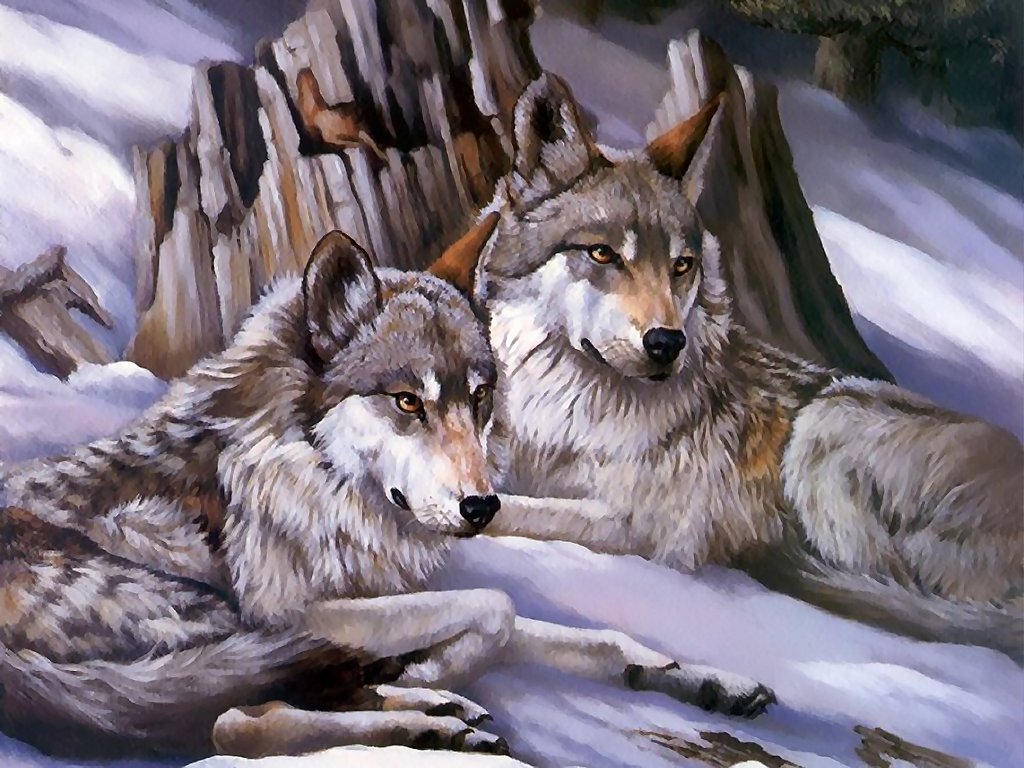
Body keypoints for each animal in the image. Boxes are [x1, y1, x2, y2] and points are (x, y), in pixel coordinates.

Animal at [0, 227, 775, 759]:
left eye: (480, 398)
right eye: (407, 401)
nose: (482, 508)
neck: (314, 474)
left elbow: (587, 638)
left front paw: (705, 678)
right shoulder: (297, 613)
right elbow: (494, 607)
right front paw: (428, 672)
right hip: (208, 613)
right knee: (233, 723)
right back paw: (426, 716)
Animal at [436, 74, 1024, 662]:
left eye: (681, 265)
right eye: (603, 254)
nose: (667, 342)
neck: (559, 419)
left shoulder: (643, 526)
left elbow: (515, 512)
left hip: (829, 422)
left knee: (890, 589)